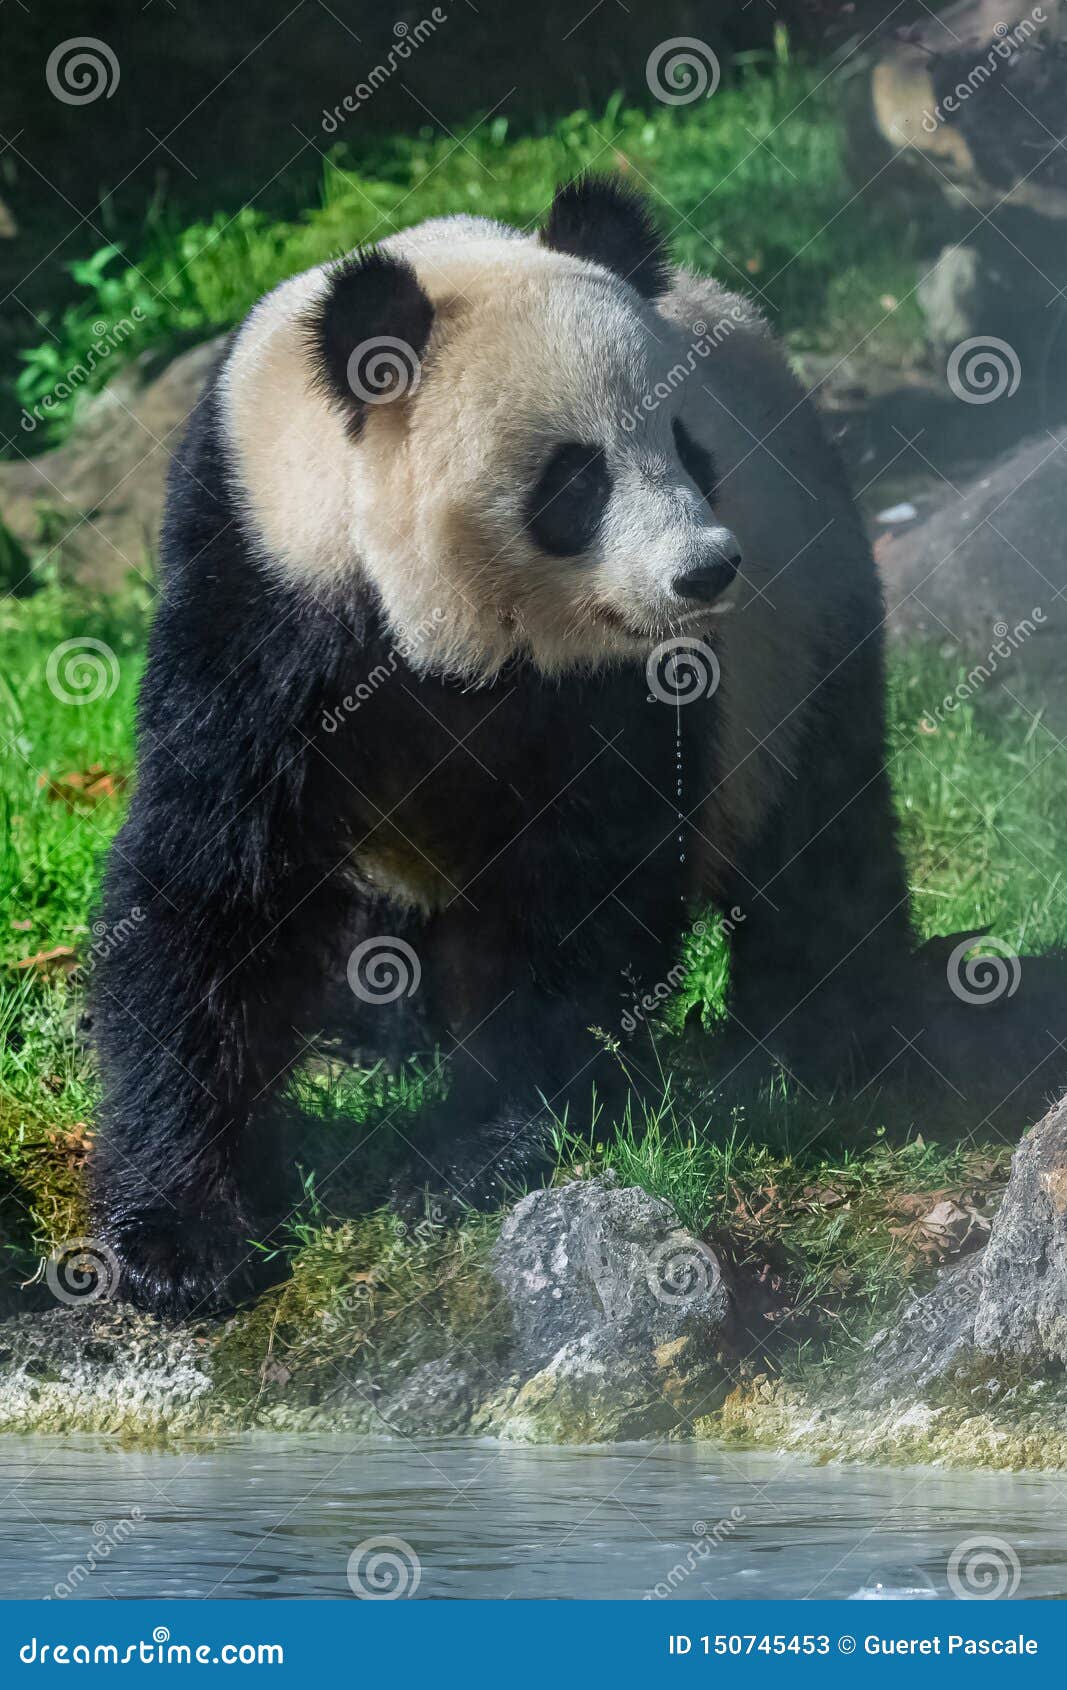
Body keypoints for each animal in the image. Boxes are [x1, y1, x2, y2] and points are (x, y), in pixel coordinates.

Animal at [91, 178, 913, 1320]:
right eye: (577, 478)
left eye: (689, 445)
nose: (706, 570)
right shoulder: (260, 579)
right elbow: (219, 883)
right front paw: (179, 1239)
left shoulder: (633, 679)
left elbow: (580, 891)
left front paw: (473, 1153)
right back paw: (378, 1033)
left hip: (801, 632)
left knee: (819, 837)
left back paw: (827, 1038)